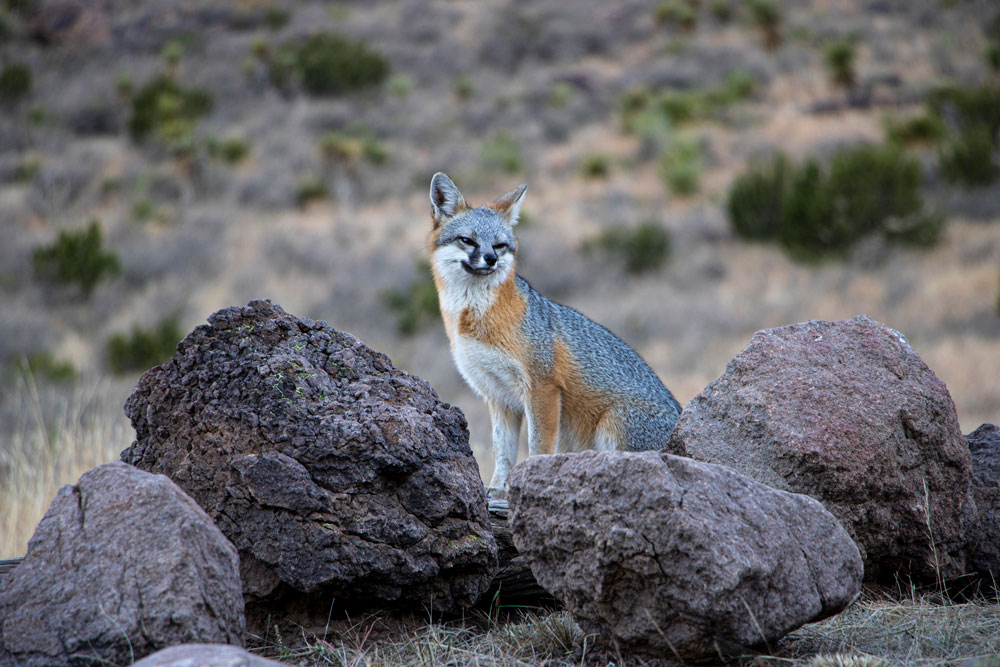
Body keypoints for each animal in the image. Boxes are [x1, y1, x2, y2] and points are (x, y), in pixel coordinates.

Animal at [426, 172, 682, 496]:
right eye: (467, 240)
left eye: (499, 245)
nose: (490, 259)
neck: (475, 320)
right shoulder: (499, 397)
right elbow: (503, 451)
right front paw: (497, 488)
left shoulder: (542, 387)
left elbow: (538, 445)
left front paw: (524, 483)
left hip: (614, 423)